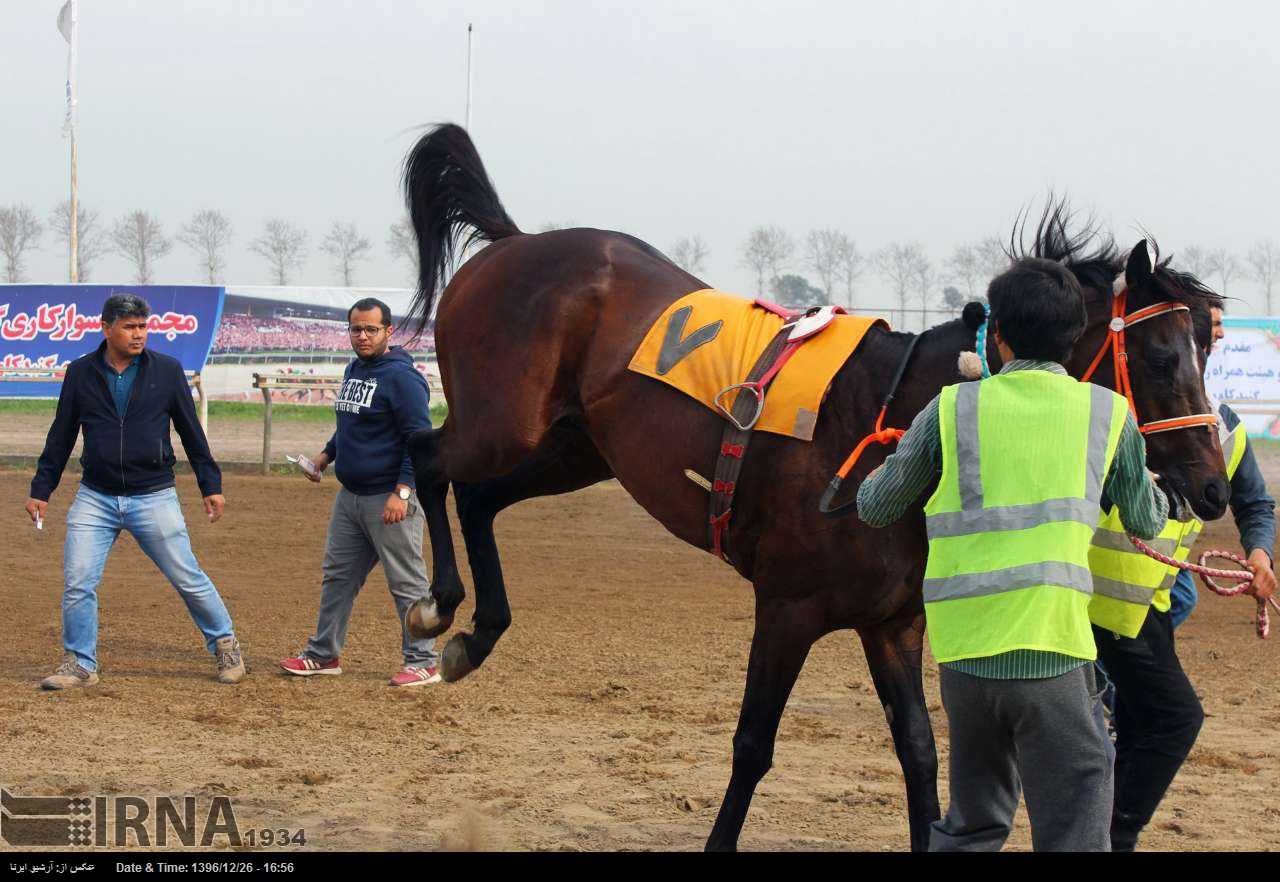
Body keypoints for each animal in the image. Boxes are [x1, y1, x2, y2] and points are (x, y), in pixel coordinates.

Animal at [399, 124, 1228, 851]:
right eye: (1161, 357)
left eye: (1209, 351)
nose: (1213, 487)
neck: (890, 418)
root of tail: (516, 242)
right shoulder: (787, 608)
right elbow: (753, 744)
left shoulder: (893, 623)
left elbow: (920, 751)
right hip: (501, 425)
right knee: (427, 459)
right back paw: (437, 605)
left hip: (574, 449)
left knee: (479, 497)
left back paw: (475, 630)